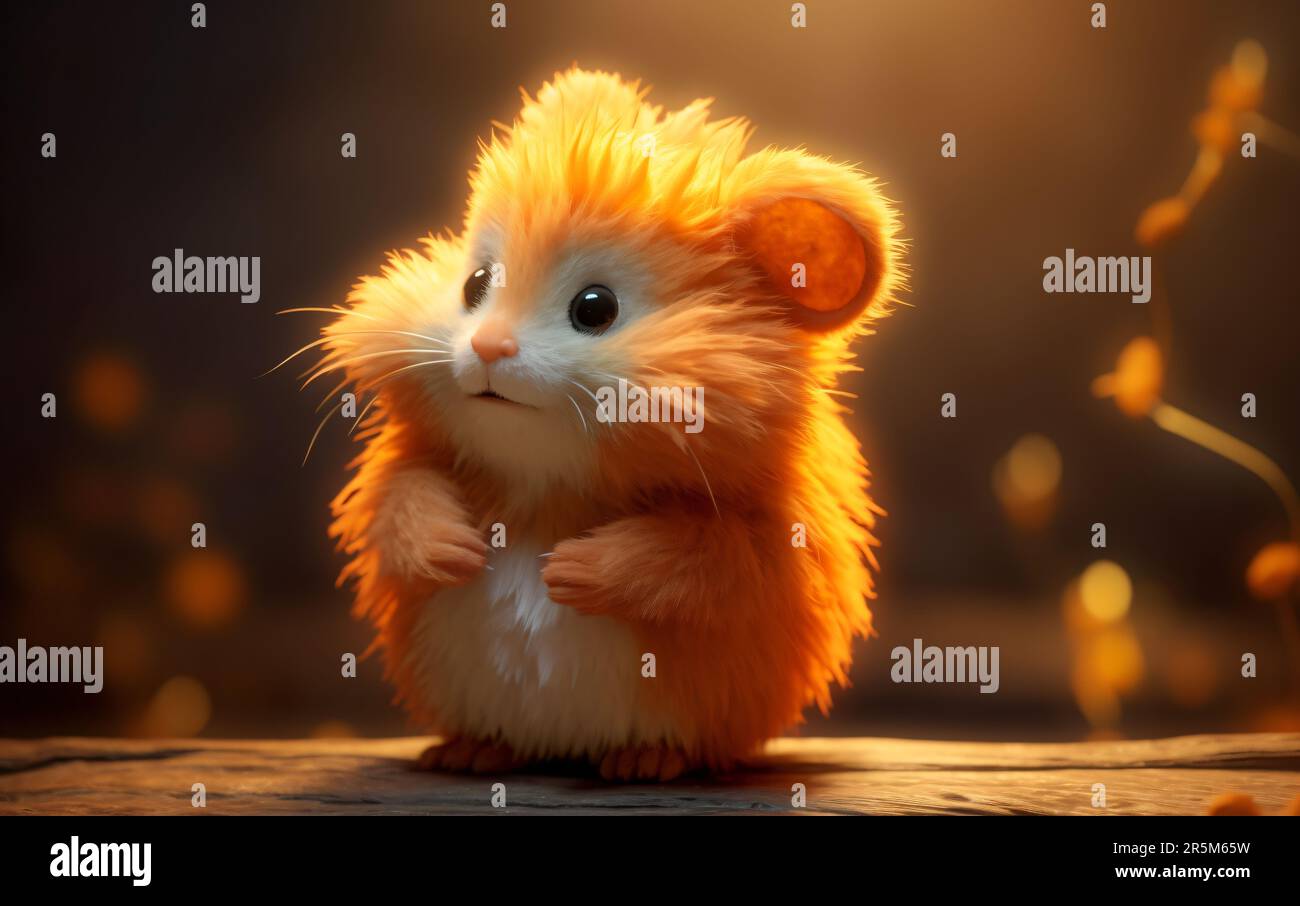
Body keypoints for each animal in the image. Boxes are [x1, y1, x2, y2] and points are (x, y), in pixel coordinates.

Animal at [301, 68, 903, 781]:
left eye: (596, 308)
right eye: (474, 283)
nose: (488, 347)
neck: (543, 477)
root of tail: (560, 746)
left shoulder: (767, 539)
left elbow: (703, 559)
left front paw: (569, 571)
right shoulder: (406, 467)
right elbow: (403, 499)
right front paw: (459, 551)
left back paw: (640, 762)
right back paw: (471, 753)